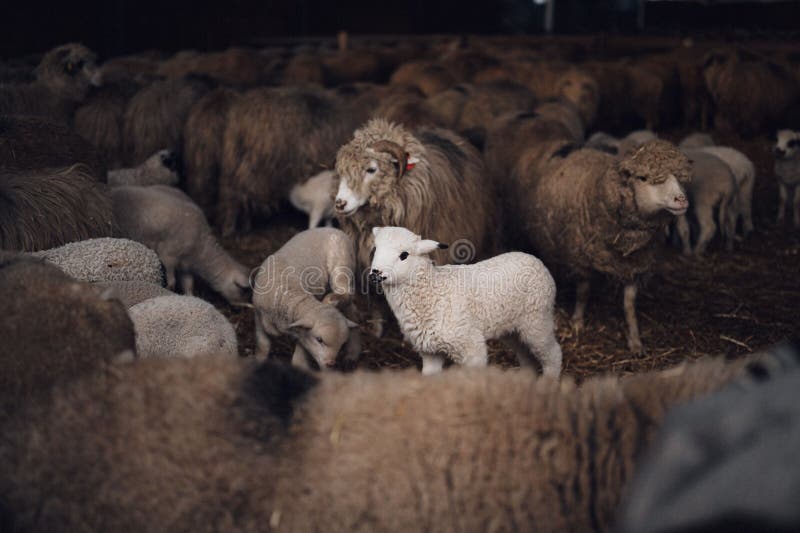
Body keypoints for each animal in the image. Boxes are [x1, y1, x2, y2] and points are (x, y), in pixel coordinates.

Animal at [112, 185, 250, 303]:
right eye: (241, 290)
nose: (240, 309)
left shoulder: (185, 267)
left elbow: (188, 286)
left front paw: (190, 297)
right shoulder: (168, 256)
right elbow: (172, 281)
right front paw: (168, 290)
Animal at [218, 86, 359, 236]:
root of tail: (241, 116)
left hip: (234, 157)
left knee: (231, 191)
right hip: (255, 162)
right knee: (238, 193)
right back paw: (230, 228)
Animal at [252, 228, 361, 370]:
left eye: (342, 345)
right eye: (319, 339)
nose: (331, 364)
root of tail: (334, 229)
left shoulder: (302, 332)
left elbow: (298, 361)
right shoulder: (258, 317)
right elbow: (262, 346)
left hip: (342, 265)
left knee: (346, 294)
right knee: (351, 307)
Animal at [369, 226, 562, 376]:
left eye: (404, 255)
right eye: (375, 250)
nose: (375, 273)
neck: (432, 294)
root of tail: (534, 260)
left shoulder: (471, 347)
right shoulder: (430, 353)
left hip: (537, 318)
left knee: (553, 354)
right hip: (513, 328)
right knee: (527, 357)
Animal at [517, 140, 691, 352]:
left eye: (679, 178)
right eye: (643, 178)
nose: (681, 200)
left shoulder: (633, 266)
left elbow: (629, 304)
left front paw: (635, 340)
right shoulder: (580, 257)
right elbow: (583, 292)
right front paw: (577, 322)